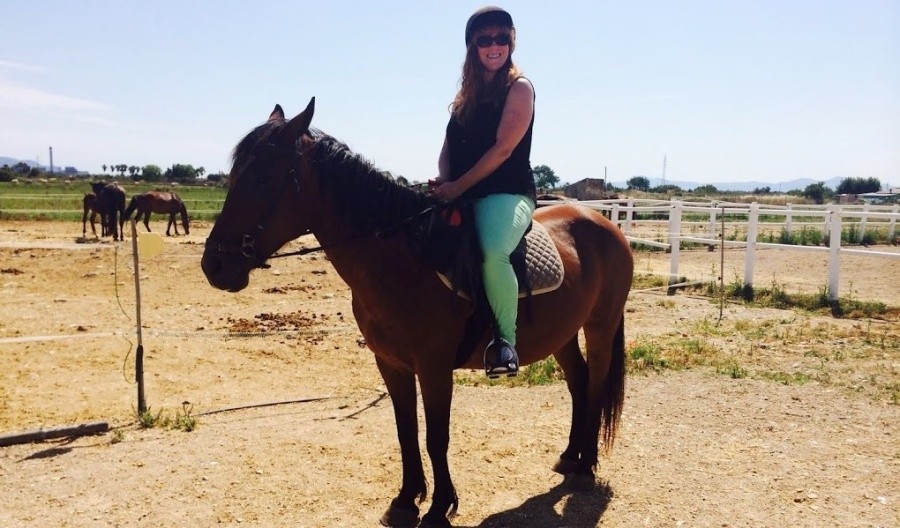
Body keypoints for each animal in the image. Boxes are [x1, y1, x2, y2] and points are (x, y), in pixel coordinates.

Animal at [201, 99, 633, 528]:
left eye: (262, 178)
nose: (213, 266)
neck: (408, 259)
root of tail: (603, 223)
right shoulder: (391, 363)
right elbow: (405, 431)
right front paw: (406, 501)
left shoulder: (434, 367)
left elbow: (435, 436)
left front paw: (440, 508)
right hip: (562, 333)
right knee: (578, 382)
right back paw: (569, 458)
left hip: (599, 327)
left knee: (595, 383)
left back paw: (585, 469)